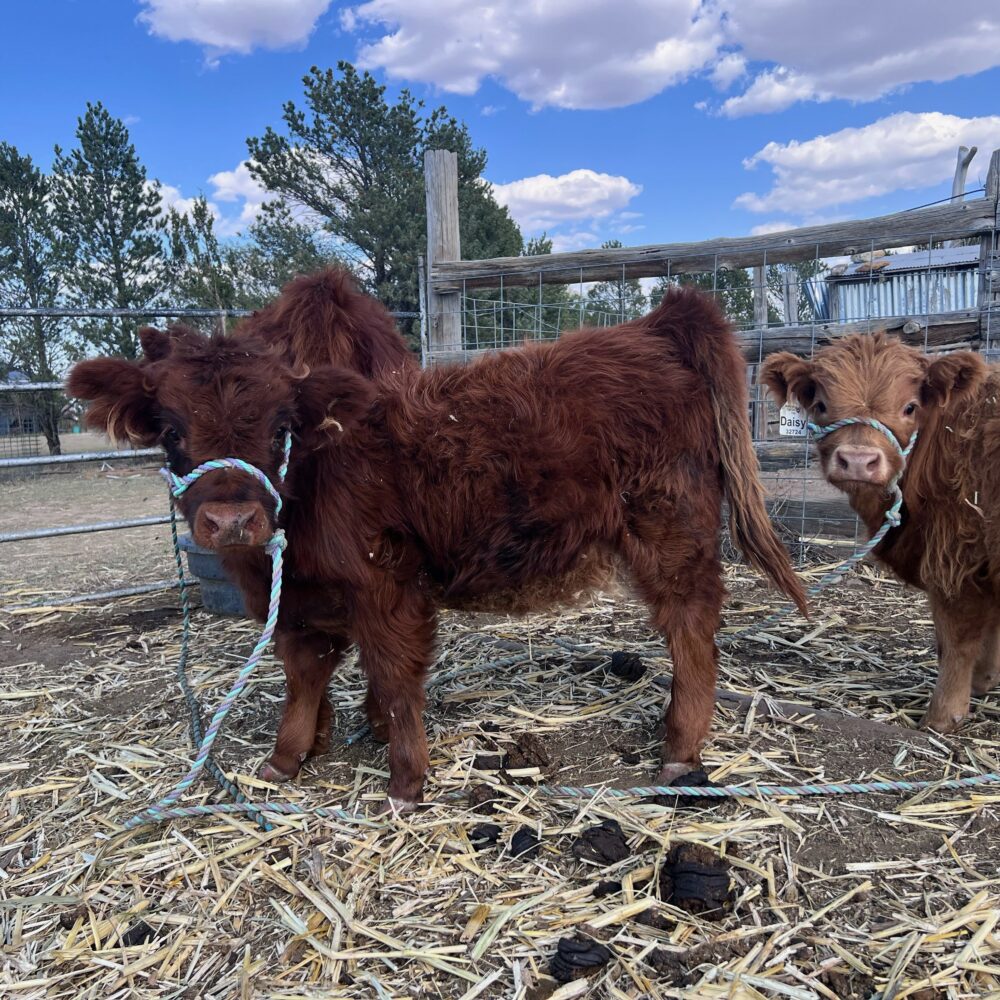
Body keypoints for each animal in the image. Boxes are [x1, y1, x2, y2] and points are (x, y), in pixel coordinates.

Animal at [69, 287, 806, 811]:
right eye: (170, 430)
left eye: (281, 427)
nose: (230, 520)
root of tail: (655, 325)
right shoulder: (297, 605)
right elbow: (305, 676)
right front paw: (287, 758)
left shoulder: (387, 586)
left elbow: (396, 680)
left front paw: (405, 780)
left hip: (669, 532)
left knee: (691, 628)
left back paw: (679, 748)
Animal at [760, 333, 997, 733]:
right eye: (821, 404)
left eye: (910, 407)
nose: (858, 461)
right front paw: (983, 683)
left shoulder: (954, 558)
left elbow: (956, 641)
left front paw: (941, 717)